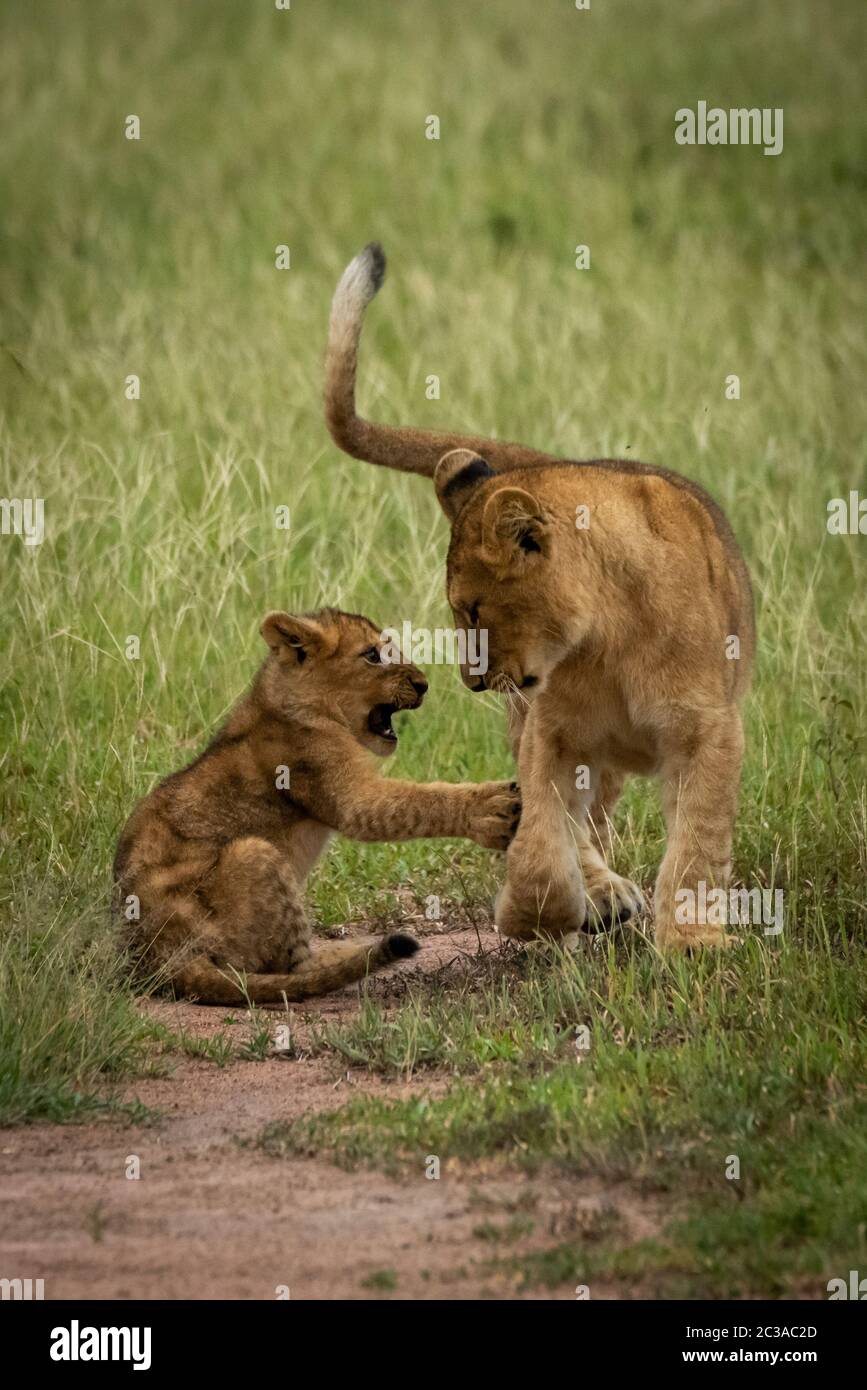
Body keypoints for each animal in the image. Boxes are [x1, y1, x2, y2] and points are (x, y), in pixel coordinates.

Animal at [114, 607, 521, 1003]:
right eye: (372, 655)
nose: (424, 684)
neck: (287, 702)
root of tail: (163, 956)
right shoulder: (349, 796)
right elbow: (418, 803)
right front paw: (490, 808)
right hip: (253, 852)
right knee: (289, 968)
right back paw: (347, 957)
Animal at [323, 245, 755, 949]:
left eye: (475, 611)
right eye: (456, 616)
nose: (470, 682)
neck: (605, 638)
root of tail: (545, 459)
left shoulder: (709, 729)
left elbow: (698, 840)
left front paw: (692, 944)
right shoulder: (550, 733)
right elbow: (543, 842)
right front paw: (534, 915)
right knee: (582, 825)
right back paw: (602, 897)